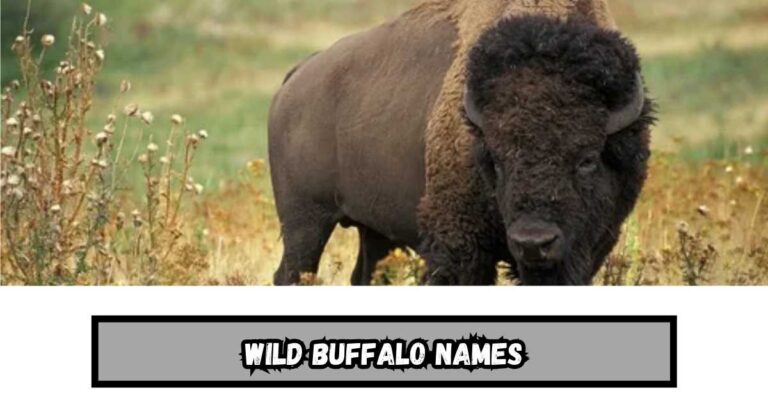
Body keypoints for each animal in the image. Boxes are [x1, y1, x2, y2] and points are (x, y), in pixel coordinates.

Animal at [268, 0, 654, 285]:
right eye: (496, 159)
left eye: (588, 159)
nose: (533, 242)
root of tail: (296, 78)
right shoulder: (459, 246)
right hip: (305, 220)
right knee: (292, 272)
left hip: (374, 229)